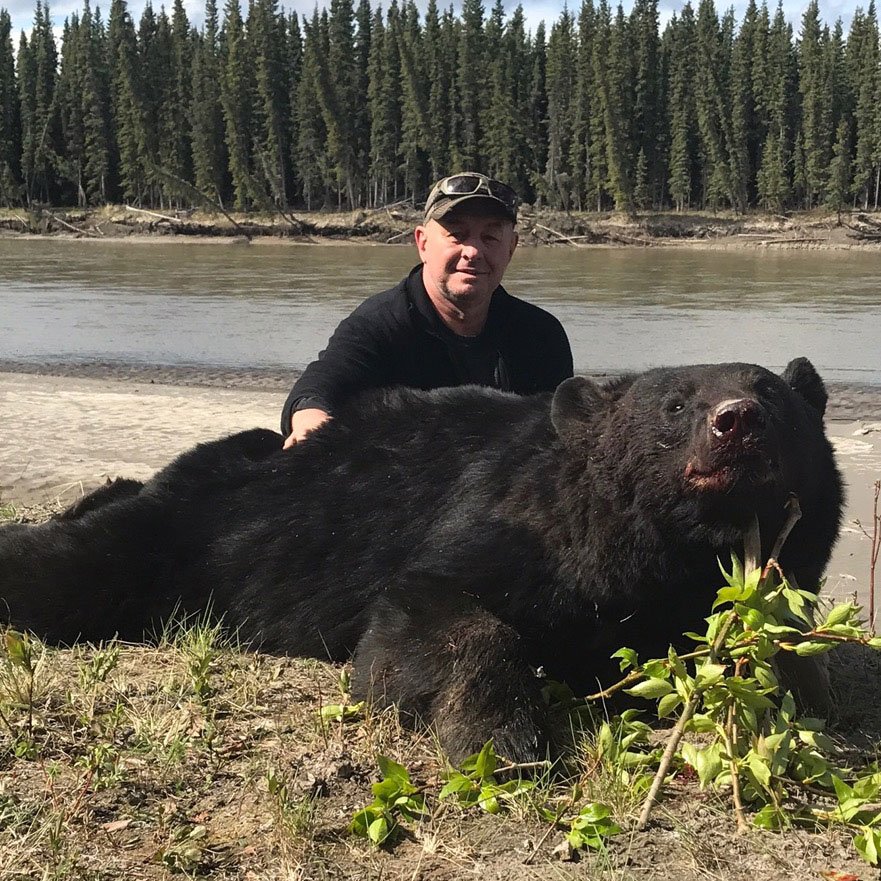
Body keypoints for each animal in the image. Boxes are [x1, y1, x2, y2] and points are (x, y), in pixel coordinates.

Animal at [0, 358, 843, 763]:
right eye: (673, 404)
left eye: (769, 392)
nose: (736, 421)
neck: (673, 548)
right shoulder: (519, 528)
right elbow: (432, 607)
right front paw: (497, 736)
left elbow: (783, 651)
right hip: (189, 534)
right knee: (71, 564)